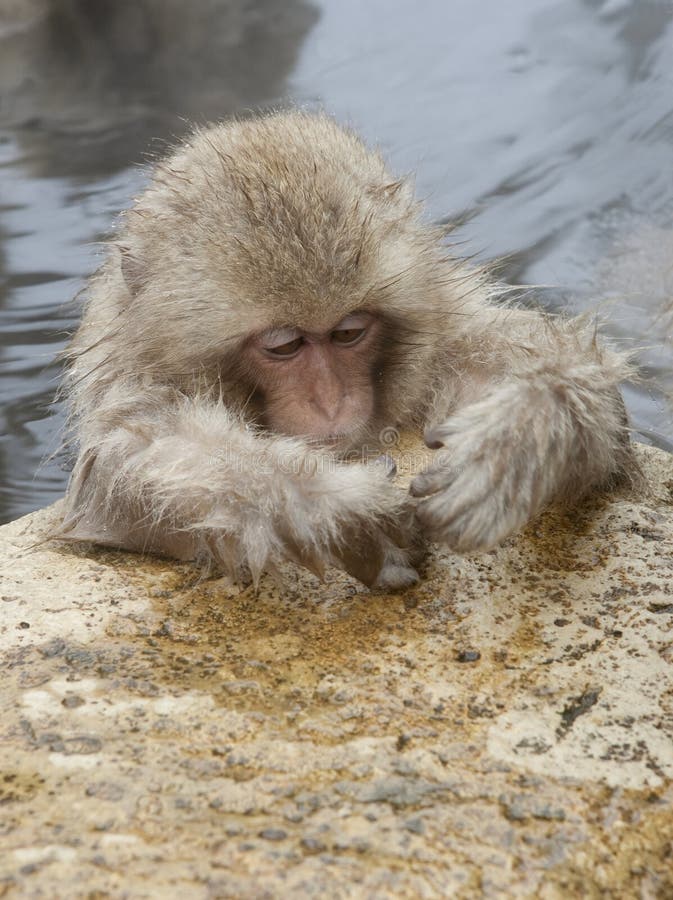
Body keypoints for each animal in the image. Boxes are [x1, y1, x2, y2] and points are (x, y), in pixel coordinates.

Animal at [58, 110, 635, 590]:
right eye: (284, 344)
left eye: (348, 333)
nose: (330, 400)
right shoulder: (126, 377)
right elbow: (118, 466)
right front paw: (330, 509)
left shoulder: (448, 340)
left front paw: (513, 446)